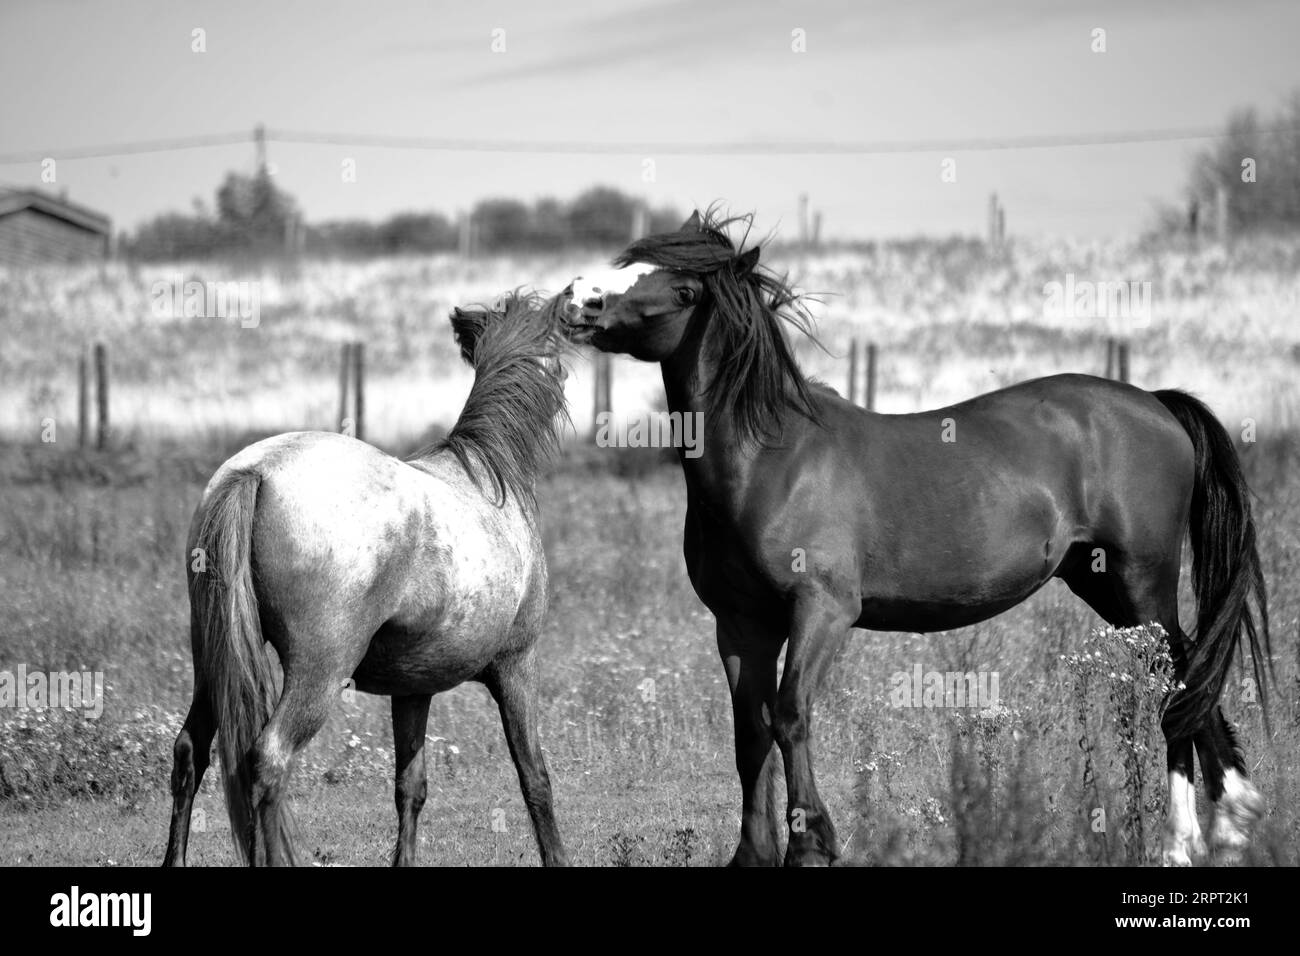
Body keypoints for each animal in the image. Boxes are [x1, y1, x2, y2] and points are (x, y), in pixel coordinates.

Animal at [163, 290, 573, 866]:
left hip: (210, 657)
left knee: (190, 752)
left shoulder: (414, 689)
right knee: (268, 760)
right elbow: (535, 778)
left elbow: (410, 787)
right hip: (318, 671)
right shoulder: (517, 666)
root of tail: (256, 471)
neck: (488, 478)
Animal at [566, 210, 1272, 867]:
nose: (579, 299)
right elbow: (751, 734)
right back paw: (1233, 824)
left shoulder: (823, 611)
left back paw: (1180, 844)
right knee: (1189, 678)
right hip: (1103, 585)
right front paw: (754, 853)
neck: (770, 460)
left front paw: (813, 841)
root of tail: (1153, 402)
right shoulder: (741, 623)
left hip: (1140, 583)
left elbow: (791, 715)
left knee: (1178, 685)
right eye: (630, 259)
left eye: (685, 289)